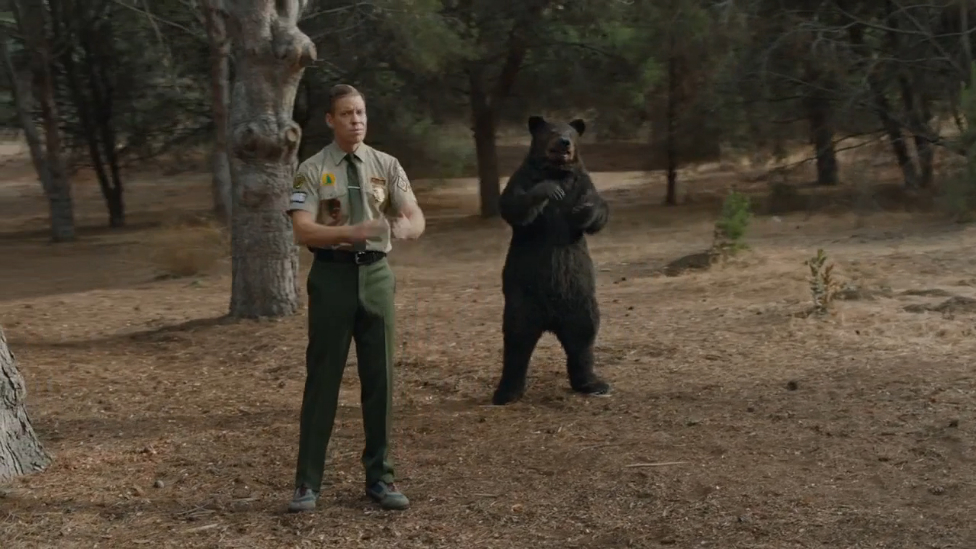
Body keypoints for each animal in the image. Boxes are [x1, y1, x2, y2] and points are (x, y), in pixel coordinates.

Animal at [491, 114, 611, 405]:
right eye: (553, 131)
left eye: (571, 132)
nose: (565, 142)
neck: (556, 170)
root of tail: (550, 320)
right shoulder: (522, 177)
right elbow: (512, 204)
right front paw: (549, 190)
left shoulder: (582, 182)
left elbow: (597, 210)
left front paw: (585, 207)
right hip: (522, 299)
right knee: (516, 340)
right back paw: (506, 392)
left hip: (580, 297)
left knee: (583, 336)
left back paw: (592, 383)